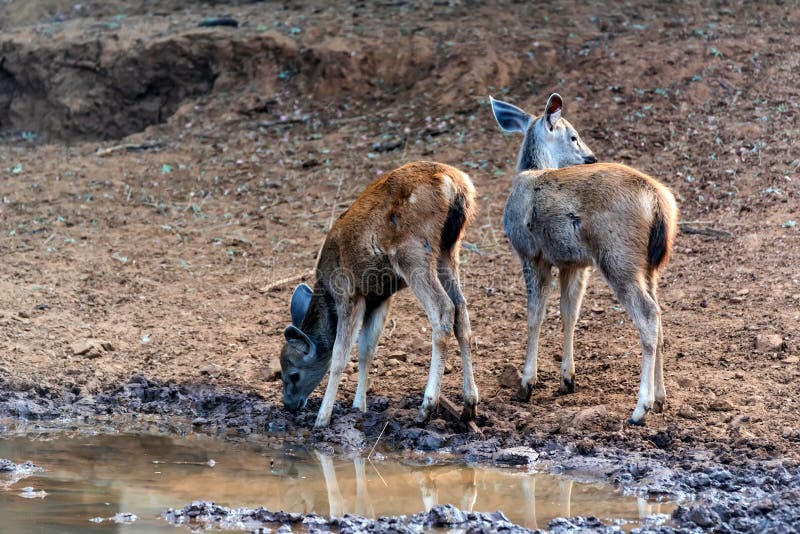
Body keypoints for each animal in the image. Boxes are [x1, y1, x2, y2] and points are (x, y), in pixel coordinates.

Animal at [279, 161, 479, 428]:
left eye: (293, 374)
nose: (288, 405)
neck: (327, 288)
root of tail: (455, 185)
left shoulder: (348, 291)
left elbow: (340, 355)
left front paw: (322, 418)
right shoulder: (380, 297)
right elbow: (366, 350)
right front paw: (358, 407)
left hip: (413, 250)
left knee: (444, 309)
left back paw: (426, 408)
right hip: (449, 250)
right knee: (462, 311)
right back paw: (469, 405)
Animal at [490, 94, 678, 425]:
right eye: (574, 137)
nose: (590, 156)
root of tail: (657, 201)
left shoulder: (531, 253)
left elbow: (535, 315)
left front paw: (526, 384)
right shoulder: (573, 264)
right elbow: (569, 314)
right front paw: (567, 379)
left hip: (618, 256)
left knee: (648, 314)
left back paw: (640, 408)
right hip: (649, 265)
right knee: (659, 315)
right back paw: (660, 399)